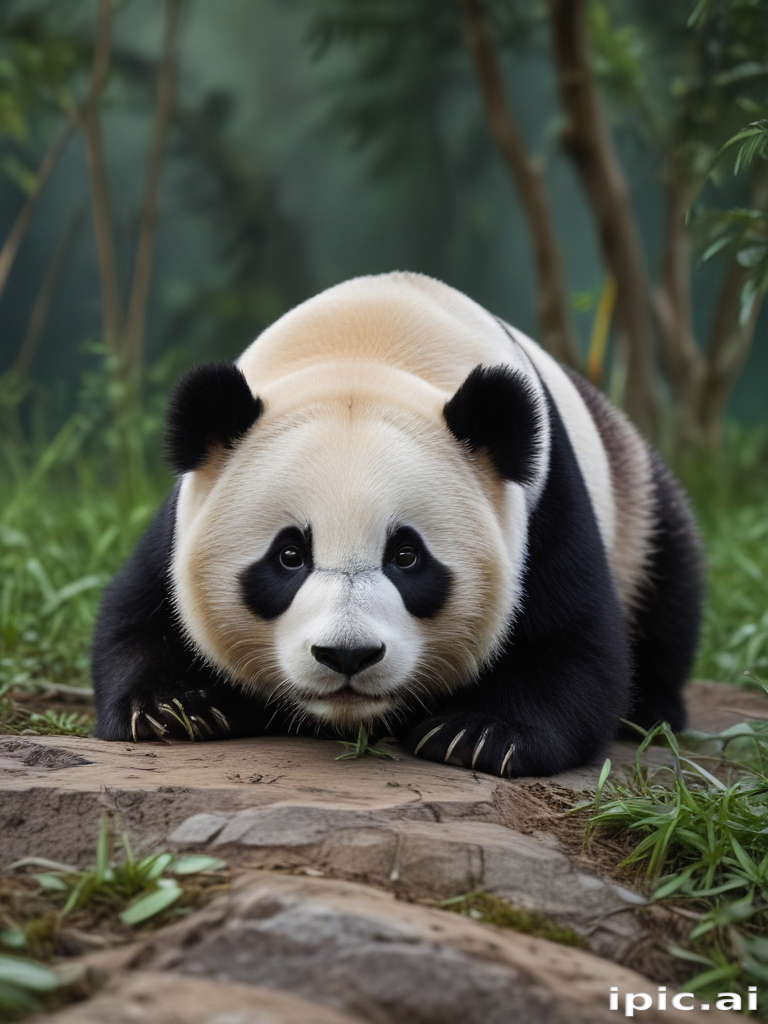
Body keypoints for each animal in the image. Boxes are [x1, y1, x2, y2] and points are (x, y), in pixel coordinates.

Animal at [92, 272, 703, 778]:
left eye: (406, 556)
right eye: (289, 556)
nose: (348, 655)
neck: (368, 341)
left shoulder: (543, 502)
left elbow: (576, 642)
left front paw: (481, 735)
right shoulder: (185, 512)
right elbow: (139, 613)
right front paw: (174, 708)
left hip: (638, 504)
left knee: (671, 587)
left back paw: (651, 710)